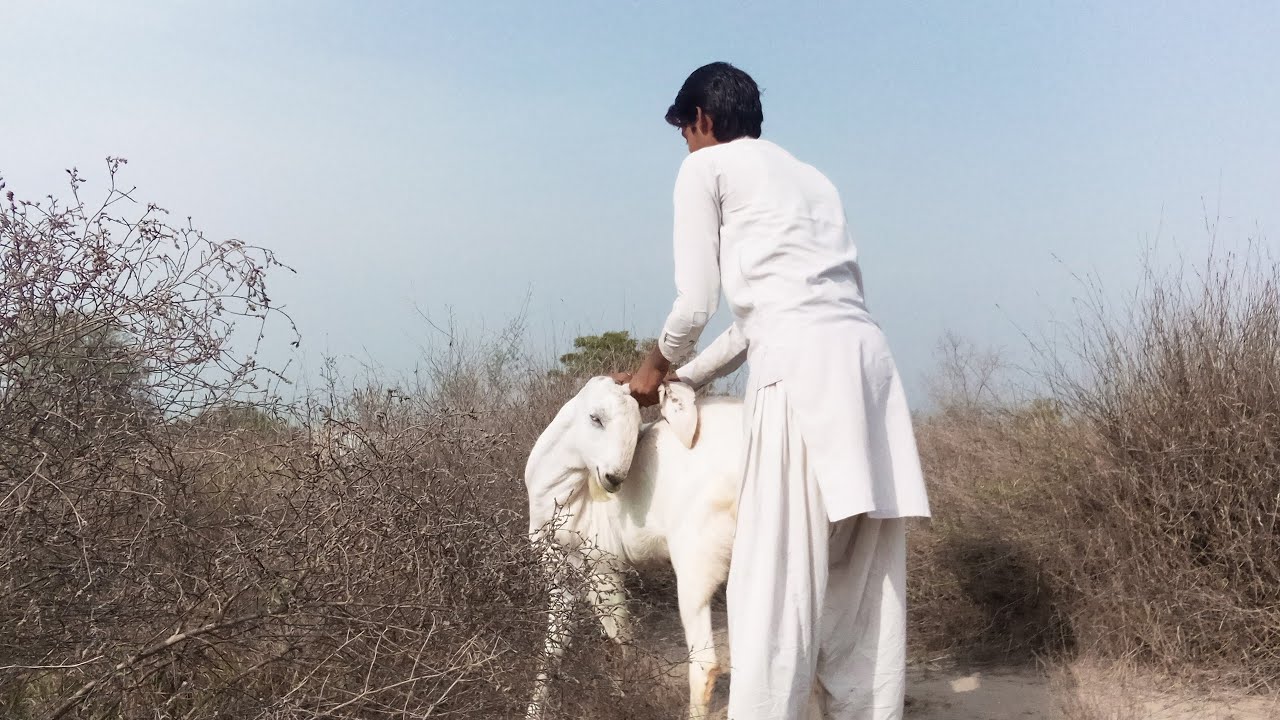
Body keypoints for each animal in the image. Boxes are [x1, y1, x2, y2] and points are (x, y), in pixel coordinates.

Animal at [523, 376, 743, 720]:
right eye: (595, 418)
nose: (614, 477)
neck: (569, 496)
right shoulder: (563, 576)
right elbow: (553, 647)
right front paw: (533, 710)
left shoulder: (603, 568)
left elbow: (620, 639)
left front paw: (623, 698)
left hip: (696, 561)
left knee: (705, 664)